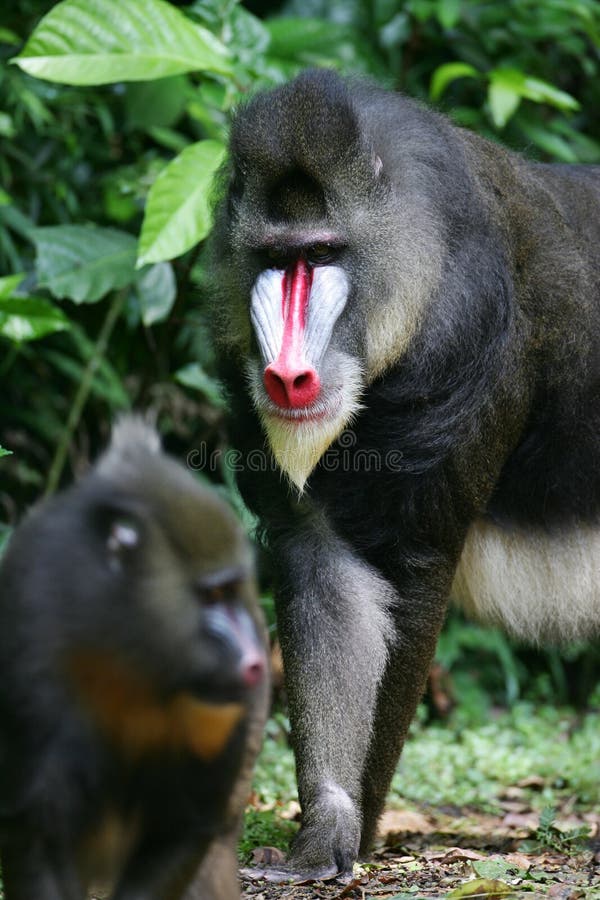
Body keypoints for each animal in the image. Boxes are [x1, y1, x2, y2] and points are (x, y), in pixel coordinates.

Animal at [206, 68, 600, 882]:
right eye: (274, 257)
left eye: (326, 253)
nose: (288, 376)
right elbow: (331, 582)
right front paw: (327, 831)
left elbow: (413, 588)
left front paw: (361, 834)